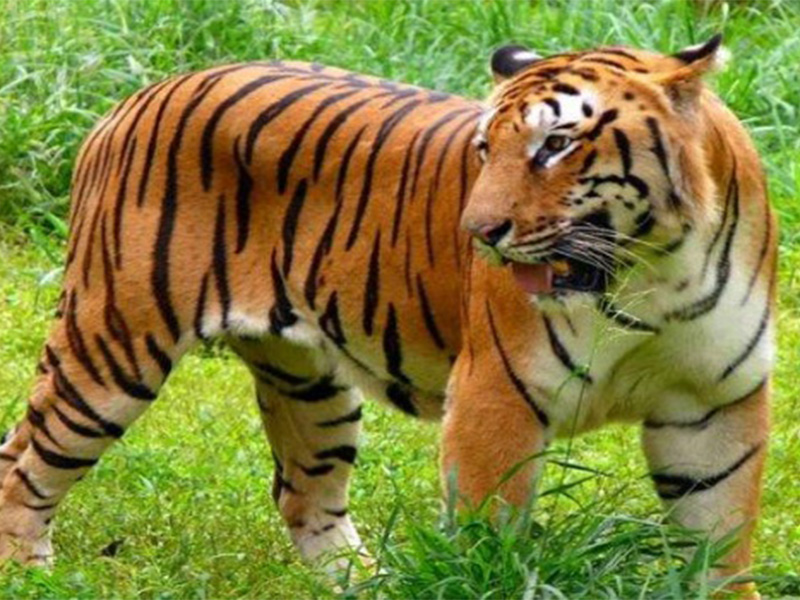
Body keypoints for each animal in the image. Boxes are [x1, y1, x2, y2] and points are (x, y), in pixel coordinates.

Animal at [0, 35, 774, 596]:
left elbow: (718, 536)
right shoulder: (497, 396)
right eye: (487, 149)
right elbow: (490, 534)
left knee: (303, 495)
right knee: (26, 459)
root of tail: (139, 95)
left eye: (556, 144)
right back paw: (30, 573)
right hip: (115, 346)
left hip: (310, 385)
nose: (479, 233)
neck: (654, 272)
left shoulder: (713, 402)